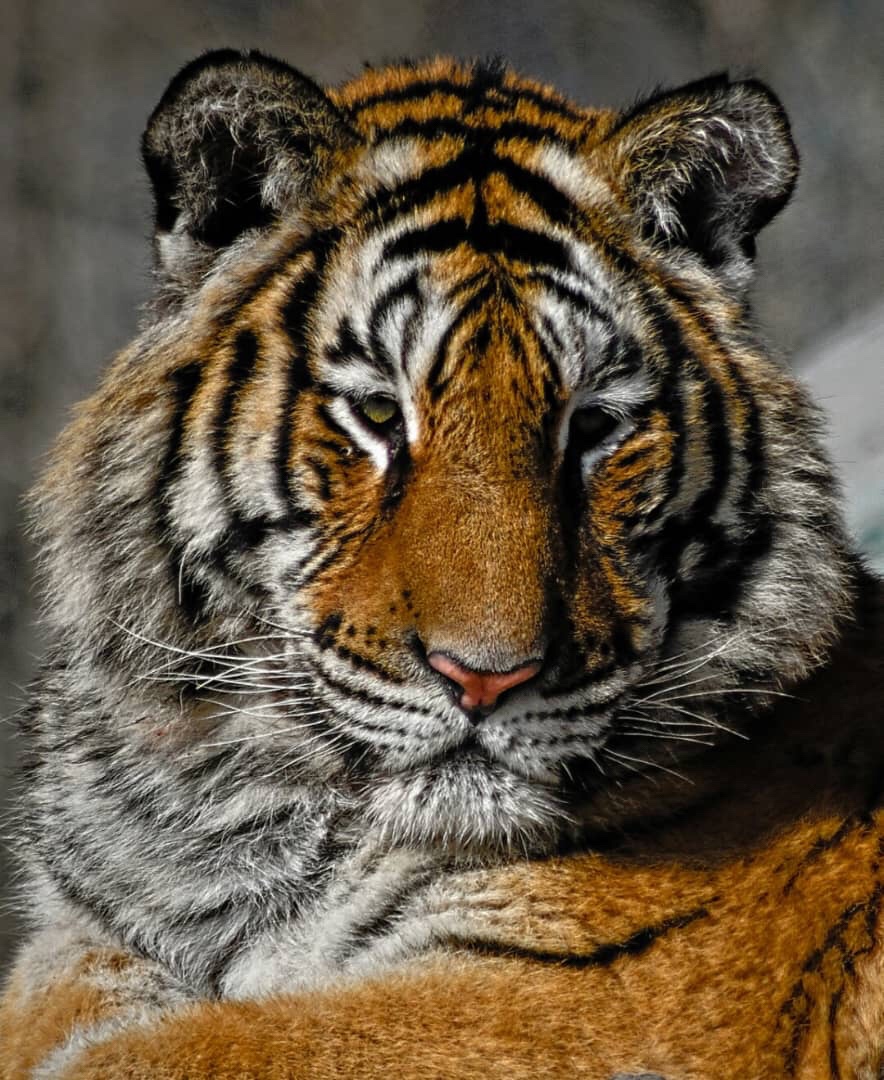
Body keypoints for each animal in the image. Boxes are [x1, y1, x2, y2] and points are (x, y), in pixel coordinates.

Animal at [1, 49, 883, 1080]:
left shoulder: (571, 998)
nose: (485, 679)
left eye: (593, 426)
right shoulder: (90, 942)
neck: (228, 795)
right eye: (381, 415)